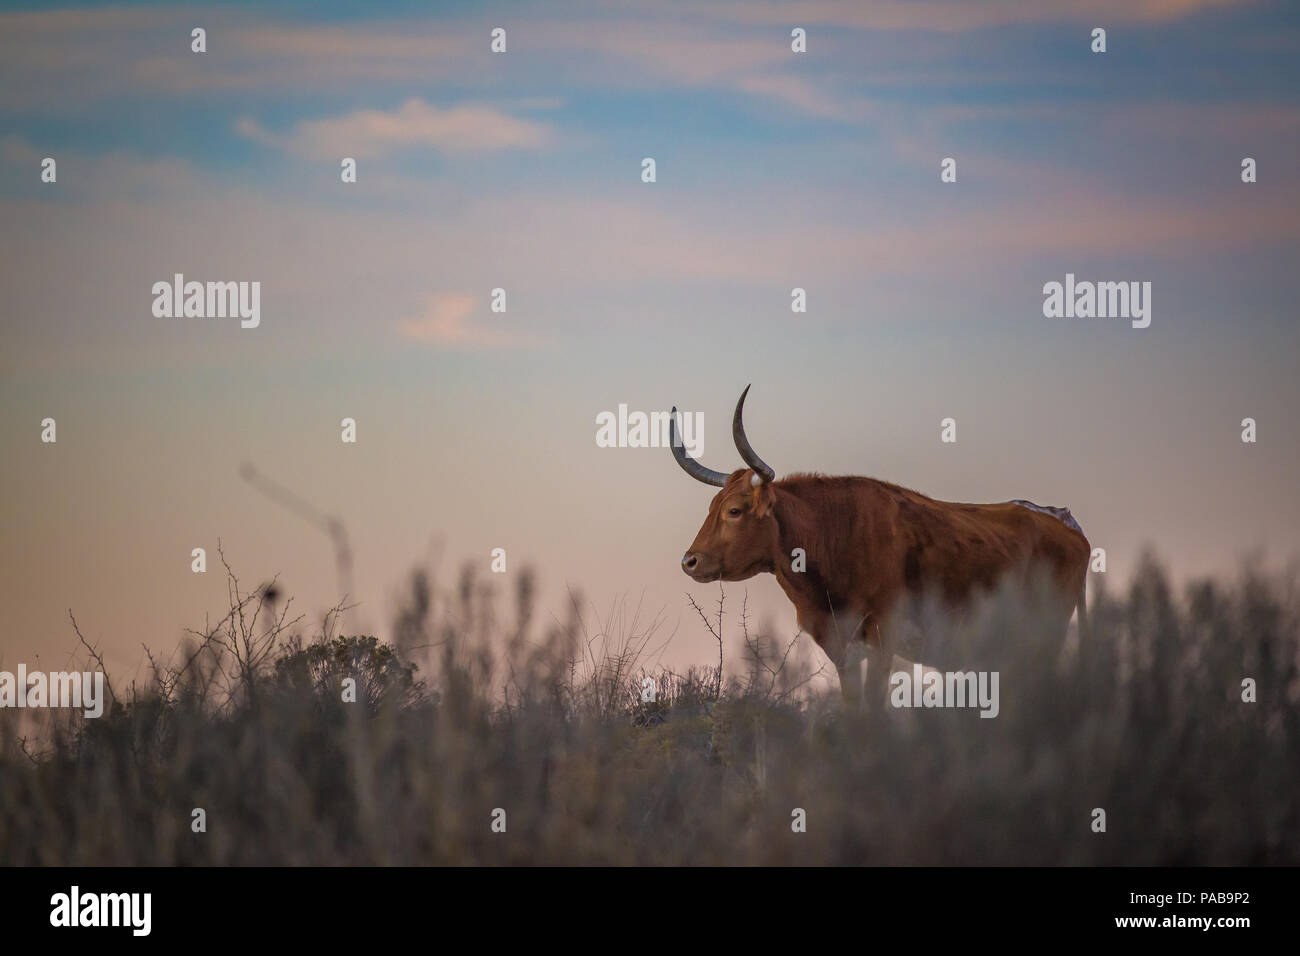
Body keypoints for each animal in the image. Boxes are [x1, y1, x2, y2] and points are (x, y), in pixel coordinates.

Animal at [669, 386, 1091, 710]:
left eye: (735, 511)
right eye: (712, 508)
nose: (690, 561)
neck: (832, 536)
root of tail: (1061, 519)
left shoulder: (884, 635)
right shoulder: (839, 645)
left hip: (1047, 632)